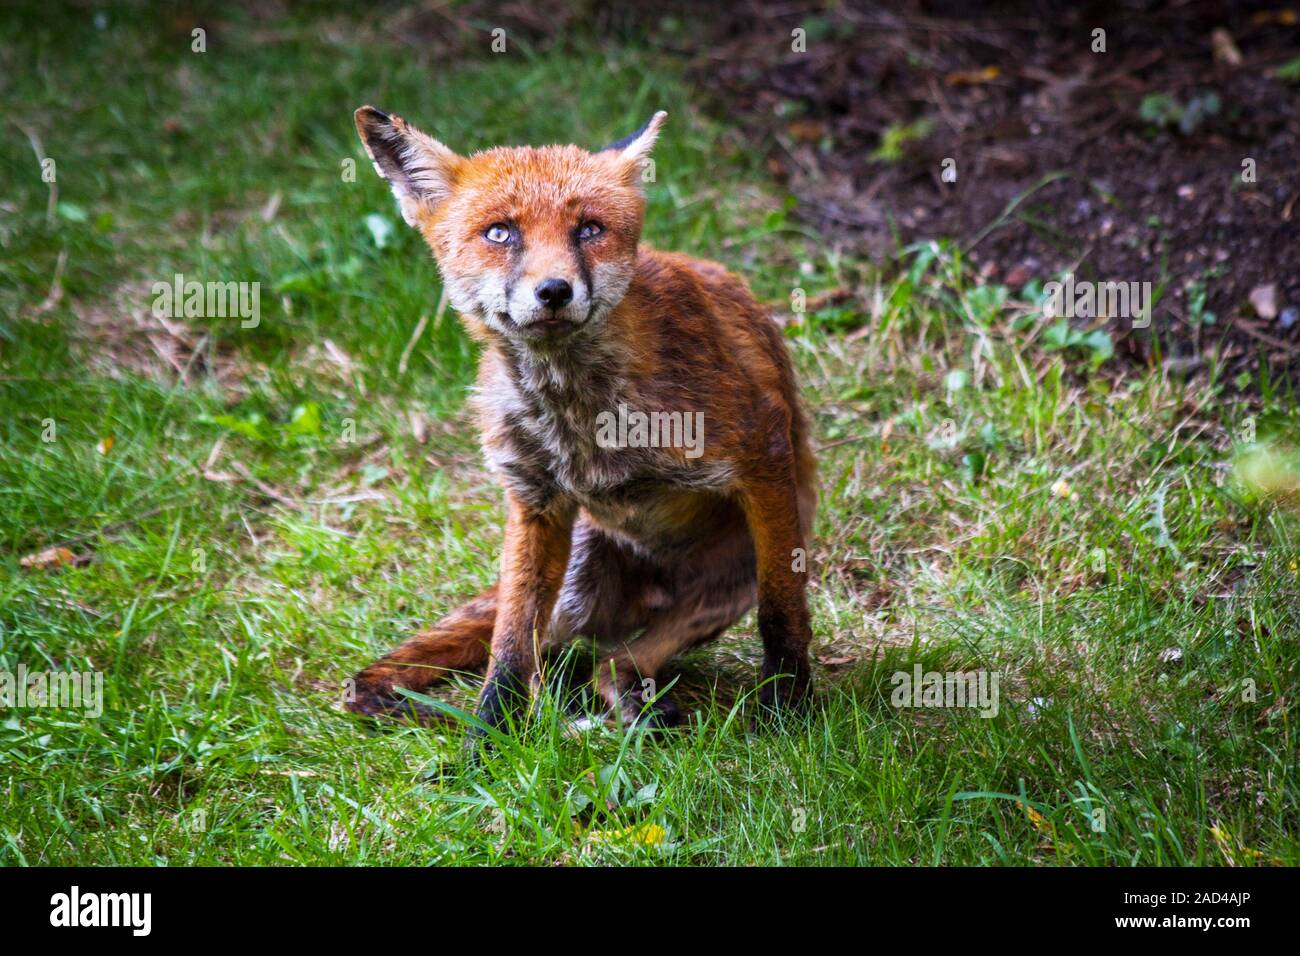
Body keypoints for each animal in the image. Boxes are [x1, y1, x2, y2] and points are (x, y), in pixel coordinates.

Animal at [347, 106, 817, 736]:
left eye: (589, 230)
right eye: (500, 232)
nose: (553, 290)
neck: (580, 419)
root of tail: (655, 582)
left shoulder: (761, 453)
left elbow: (781, 609)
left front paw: (789, 706)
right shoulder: (534, 501)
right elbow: (508, 652)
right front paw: (487, 744)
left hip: (730, 576)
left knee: (613, 662)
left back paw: (635, 707)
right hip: (575, 585)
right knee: (554, 658)